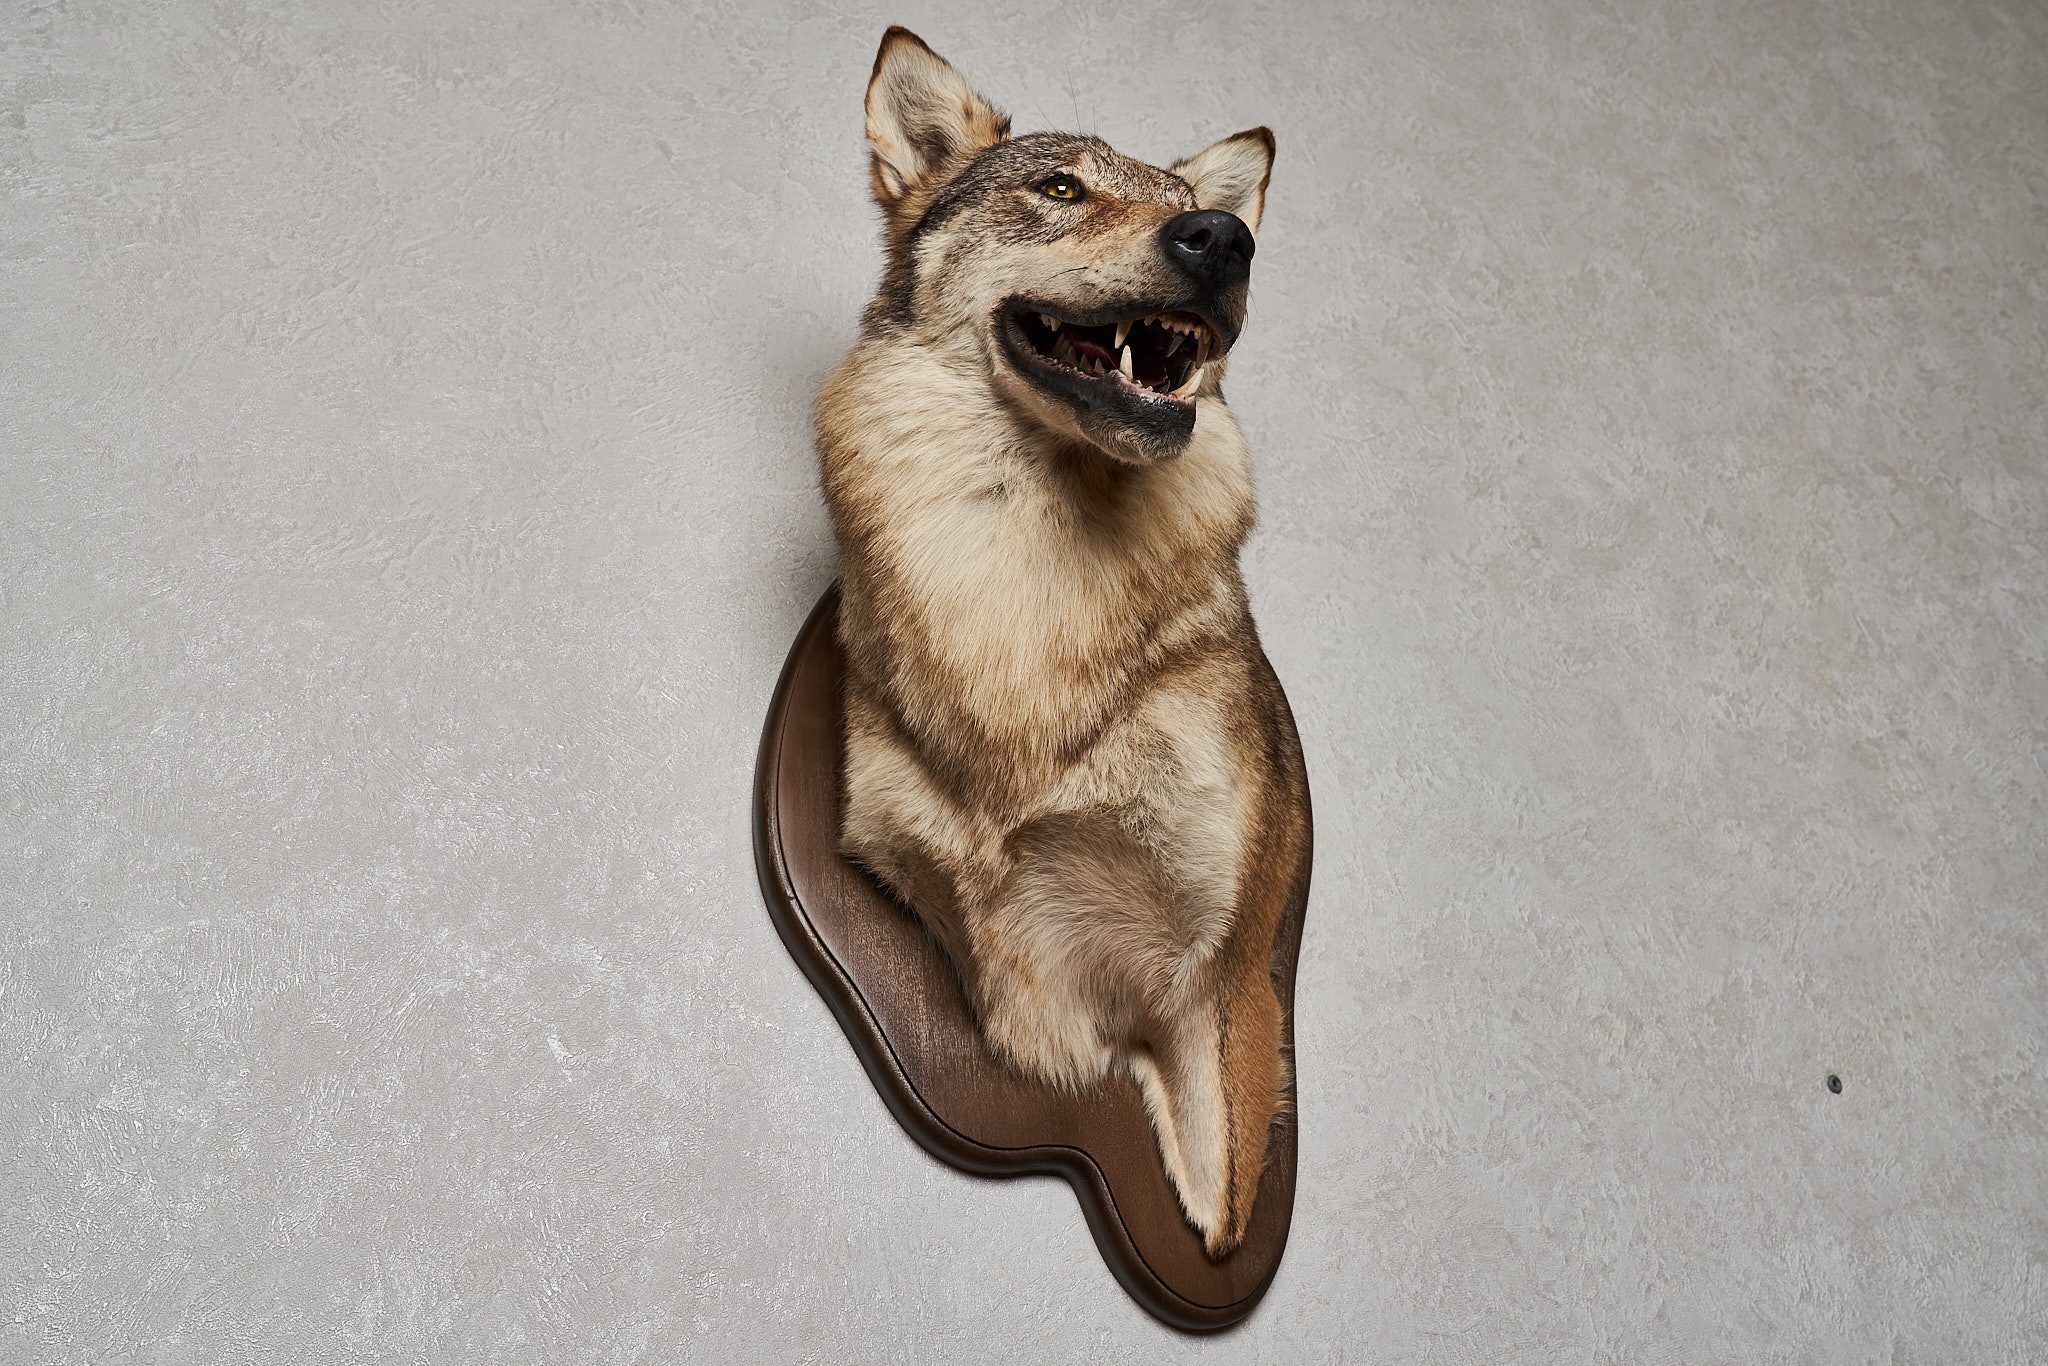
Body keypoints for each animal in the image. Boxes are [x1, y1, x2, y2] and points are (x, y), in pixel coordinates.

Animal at [816, 27, 1309, 1259]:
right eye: (1060, 189)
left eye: (1193, 208)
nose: (1224, 239)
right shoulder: (933, 901)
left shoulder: (1221, 980)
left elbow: (1220, 1219)